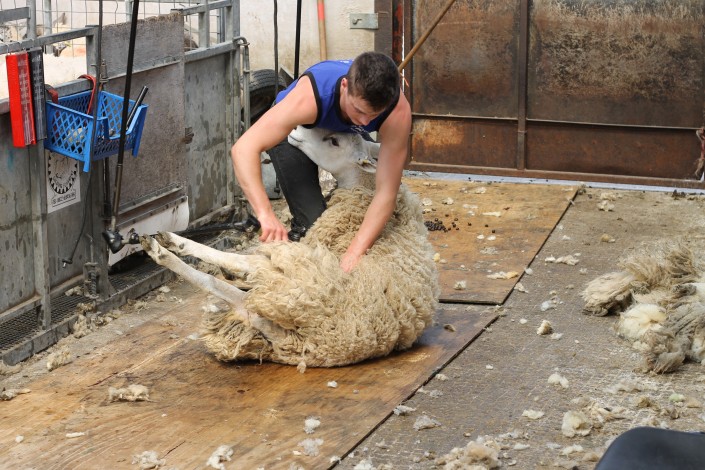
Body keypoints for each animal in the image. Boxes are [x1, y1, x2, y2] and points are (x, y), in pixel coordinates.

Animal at [140, 126, 439, 369]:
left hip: (289, 276)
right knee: (239, 294)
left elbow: (232, 261)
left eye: (334, 141)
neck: (365, 192)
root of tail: (308, 341)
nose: (295, 129)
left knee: (230, 276)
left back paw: (164, 248)